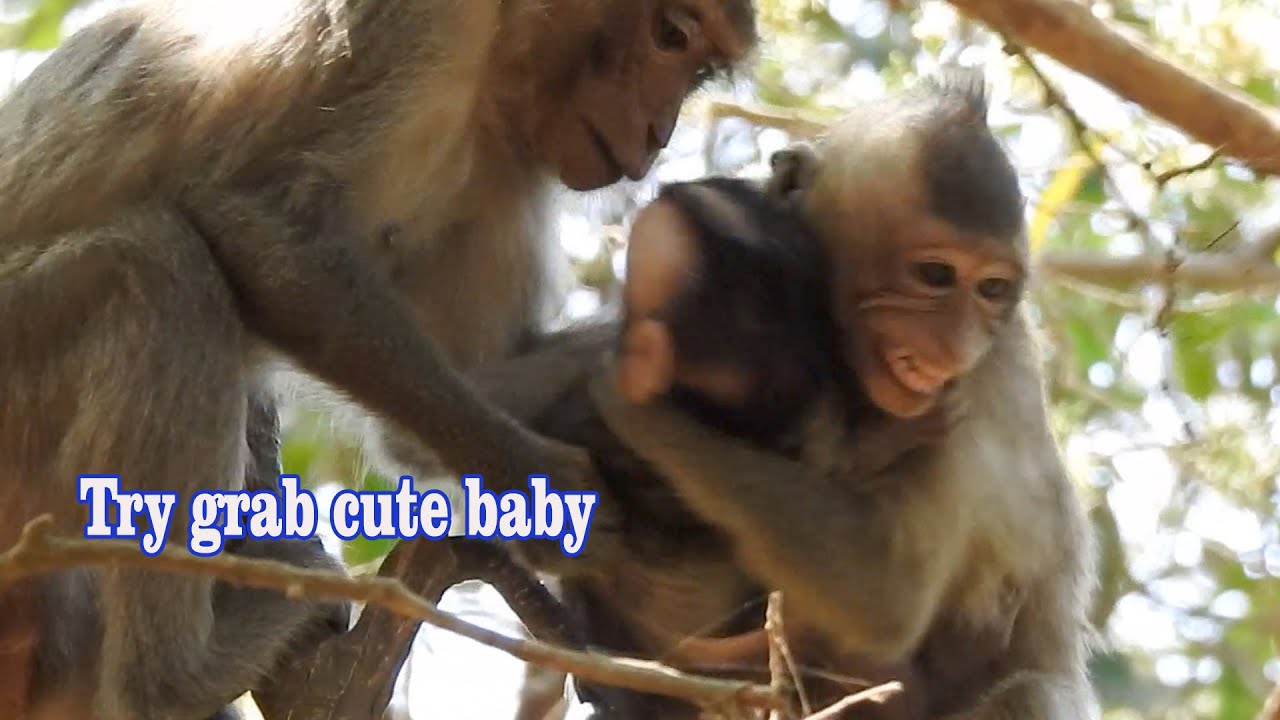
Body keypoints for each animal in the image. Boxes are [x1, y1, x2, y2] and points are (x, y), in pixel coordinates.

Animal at [0, 0, 757, 717]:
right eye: (670, 34)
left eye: (698, 71)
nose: (659, 132)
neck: (496, 69)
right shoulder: (416, 22)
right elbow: (266, 227)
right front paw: (538, 482)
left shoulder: (507, 171)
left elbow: (434, 417)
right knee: (152, 267)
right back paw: (173, 680)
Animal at [587, 68, 1101, 719]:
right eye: (935, 275)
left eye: (991, 287)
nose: (953, 347)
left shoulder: (979, 388)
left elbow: (885, 596)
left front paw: (629, 405)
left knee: (1026, 691)